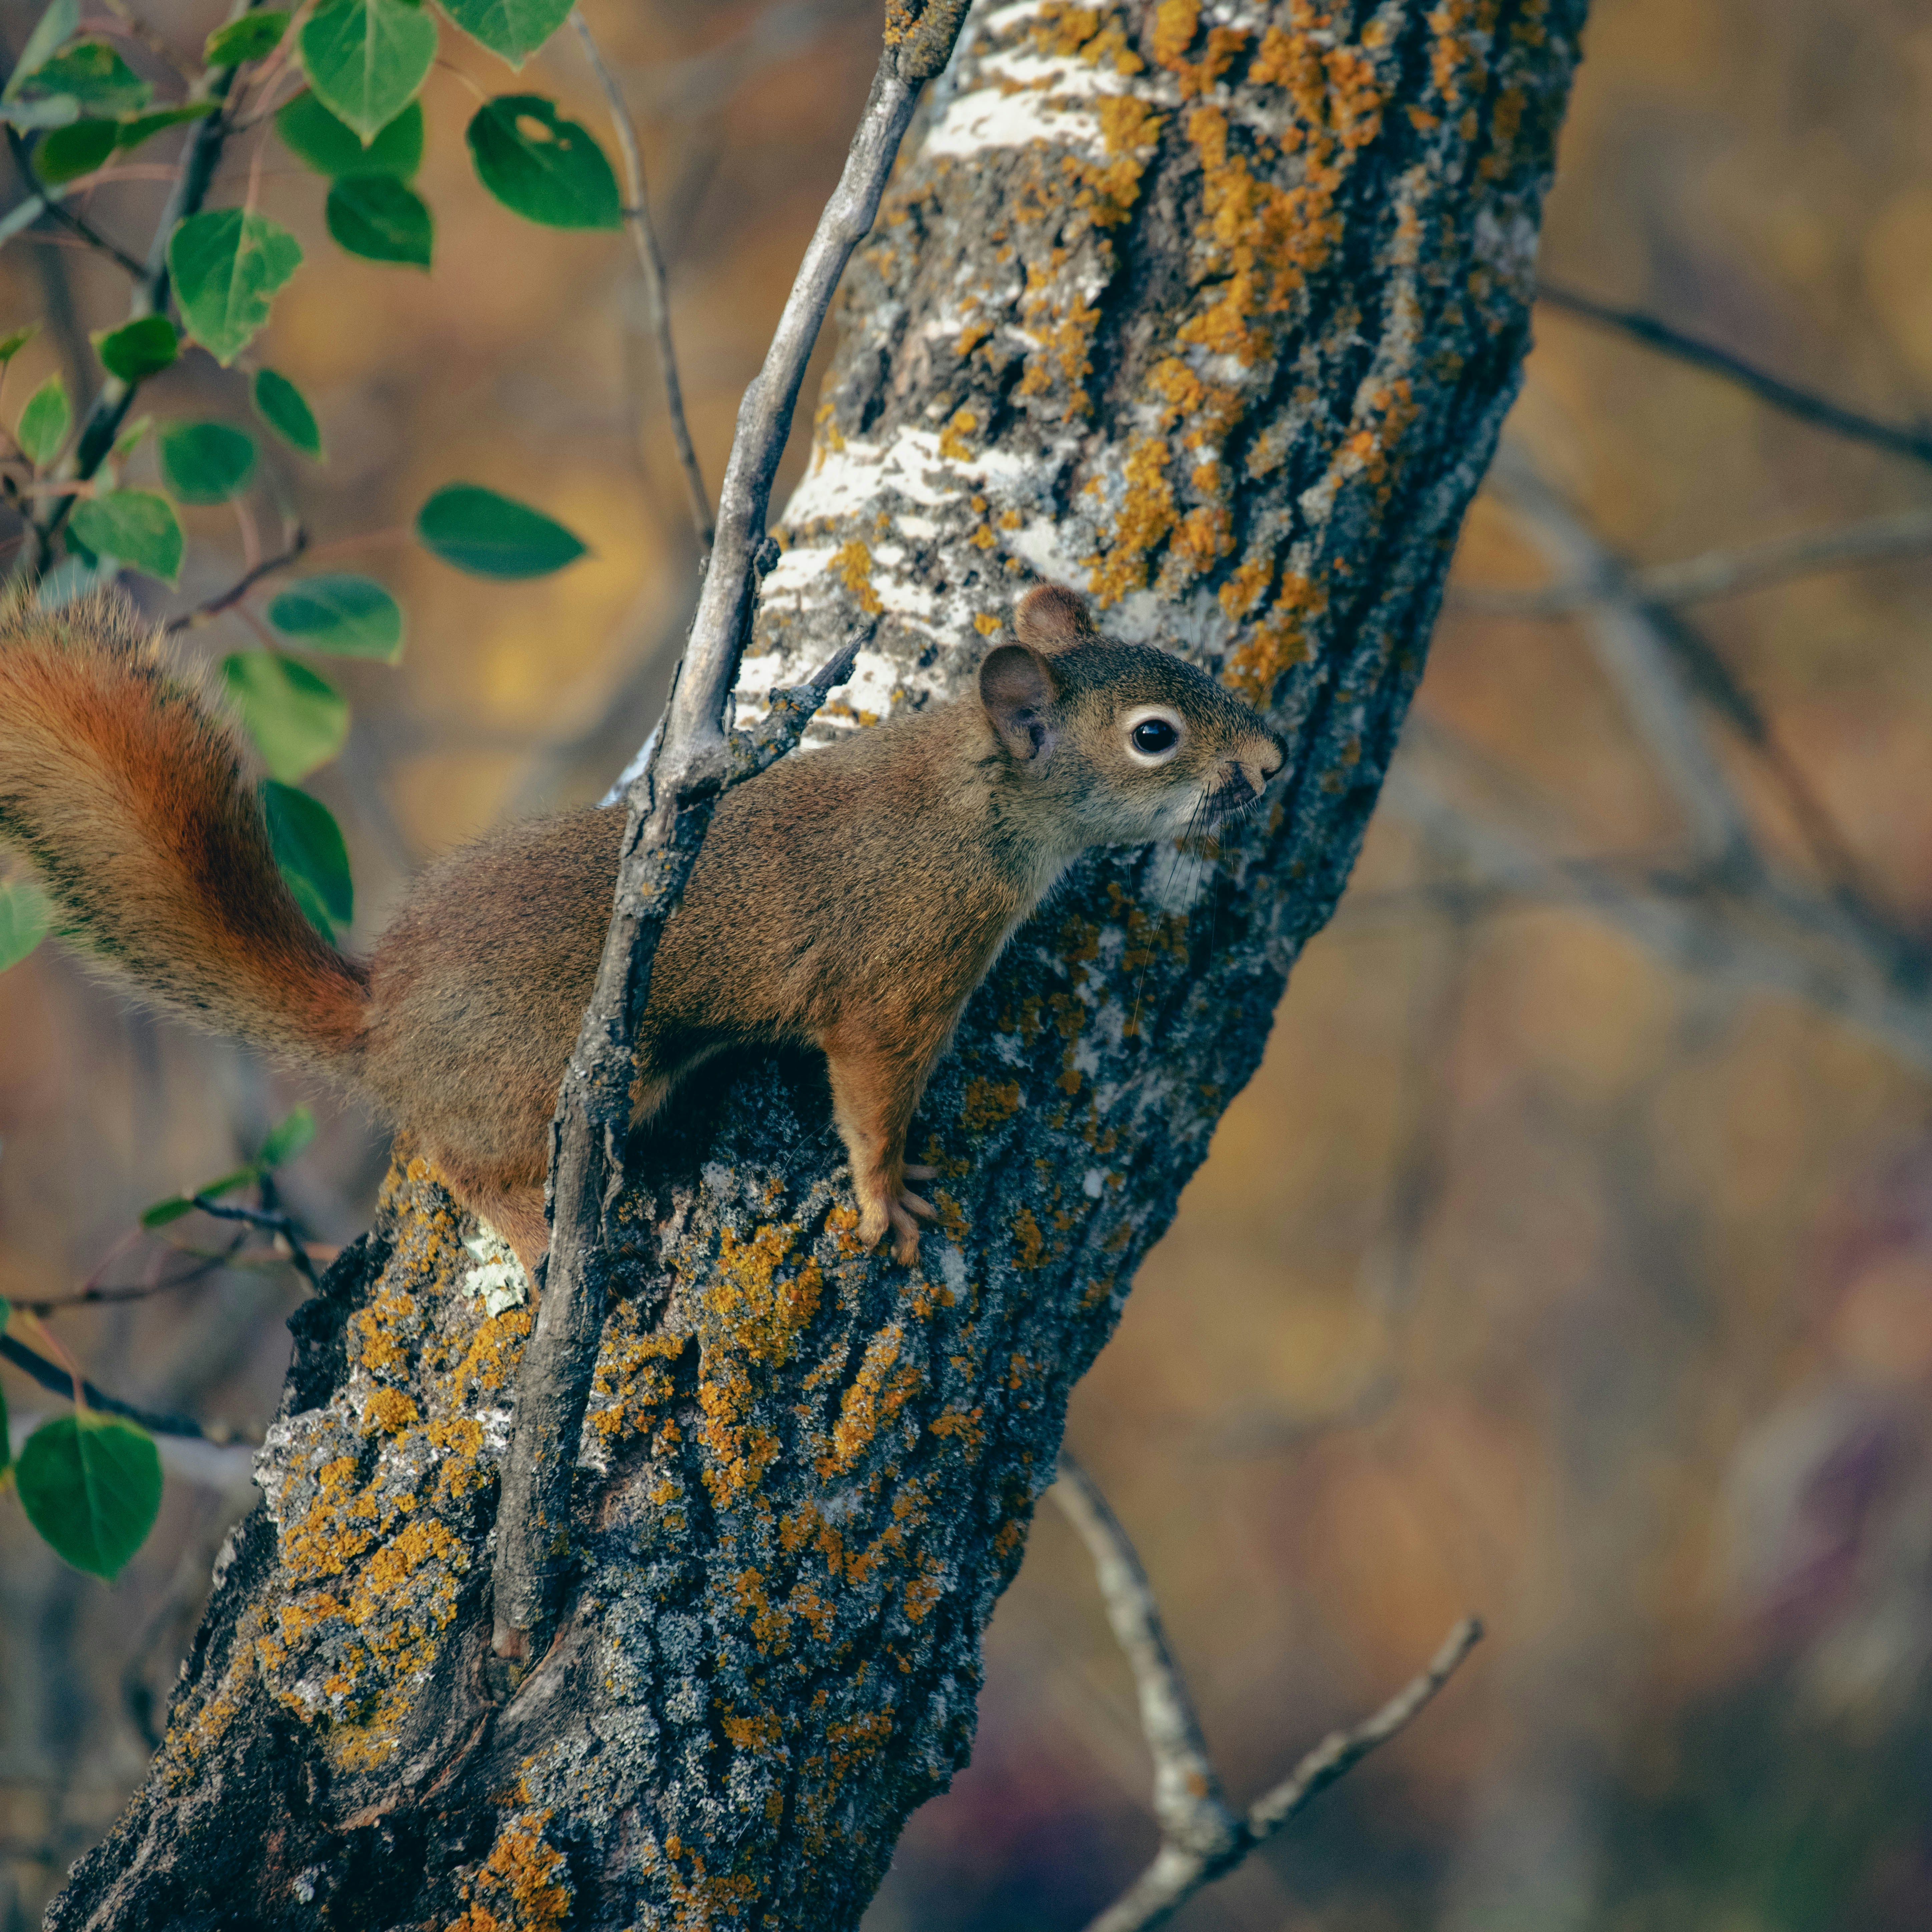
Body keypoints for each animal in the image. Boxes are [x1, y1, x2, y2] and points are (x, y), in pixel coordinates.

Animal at [0, 582, 1284, 1276]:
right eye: (1155, 735)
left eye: (1189, 666)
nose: (1274, 763)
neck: (976, 800)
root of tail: (381, 1017)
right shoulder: (897, 986)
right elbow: (868, 1105)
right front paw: (886, 1200)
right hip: (536, 1077)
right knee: (459, 1160)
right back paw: (535, 1233)